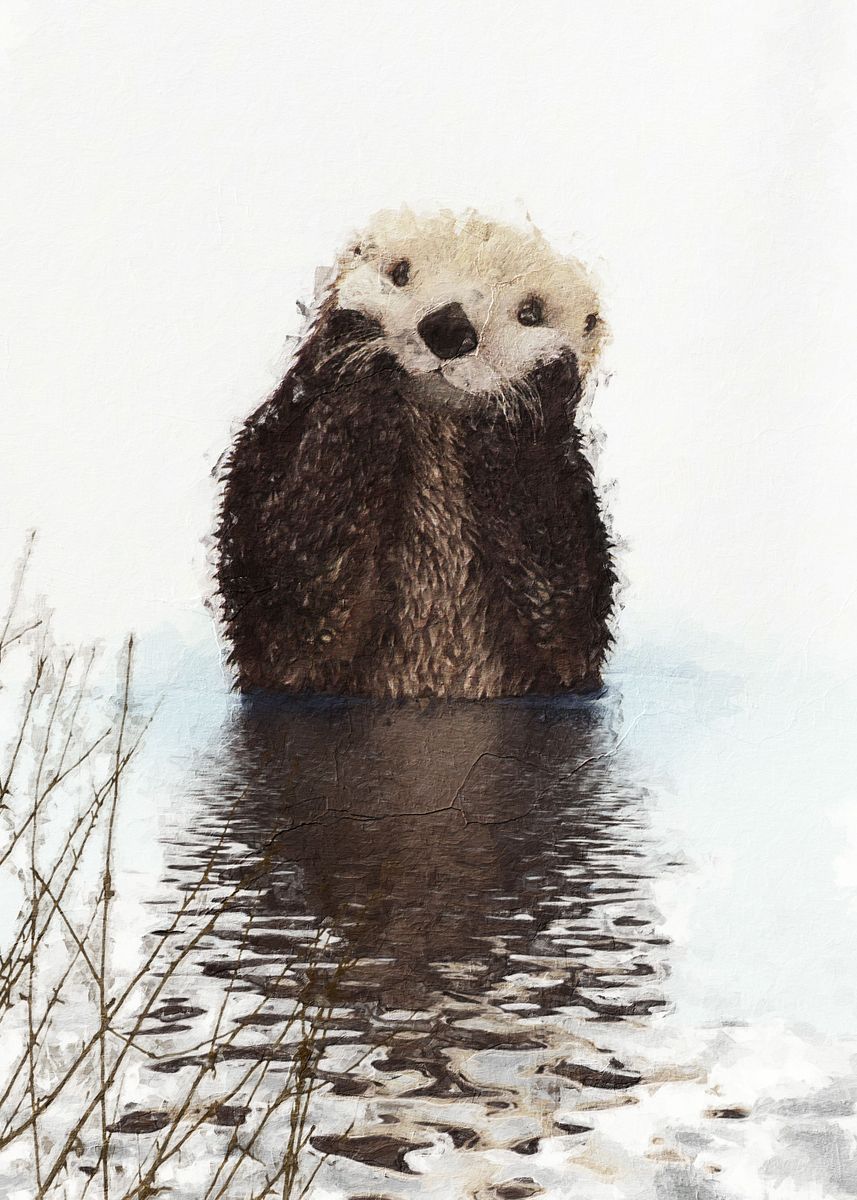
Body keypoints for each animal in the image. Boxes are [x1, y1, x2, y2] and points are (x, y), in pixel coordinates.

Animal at [215, 208, 615, 699]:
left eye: (531, 312)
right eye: (399, 272)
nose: (450, 328)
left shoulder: (572, 516)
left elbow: (563, 614)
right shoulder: (270, 458)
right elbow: (293, 593)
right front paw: (364, 367)